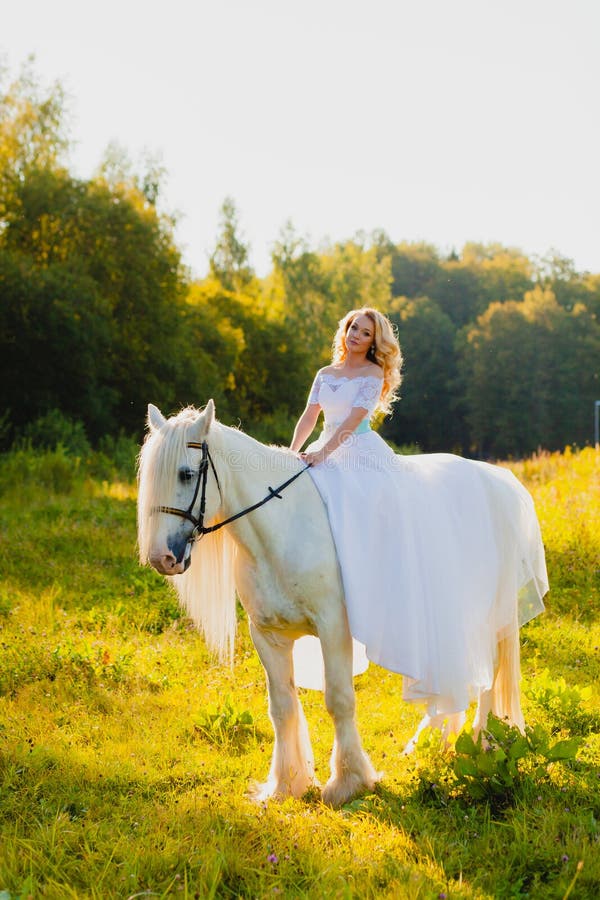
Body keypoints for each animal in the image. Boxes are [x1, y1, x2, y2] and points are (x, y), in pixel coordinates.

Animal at [137, 400, 544, 807]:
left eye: (186, 474)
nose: (162, 558)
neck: (283, 528)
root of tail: (497, 481)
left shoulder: (333, 627)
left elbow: (339, 699)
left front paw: (348, 782)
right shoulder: (266, 634)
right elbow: (281, 707)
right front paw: (285, 784)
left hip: (488, 613)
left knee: (489, 674)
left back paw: (484, 745)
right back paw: (430, 742)